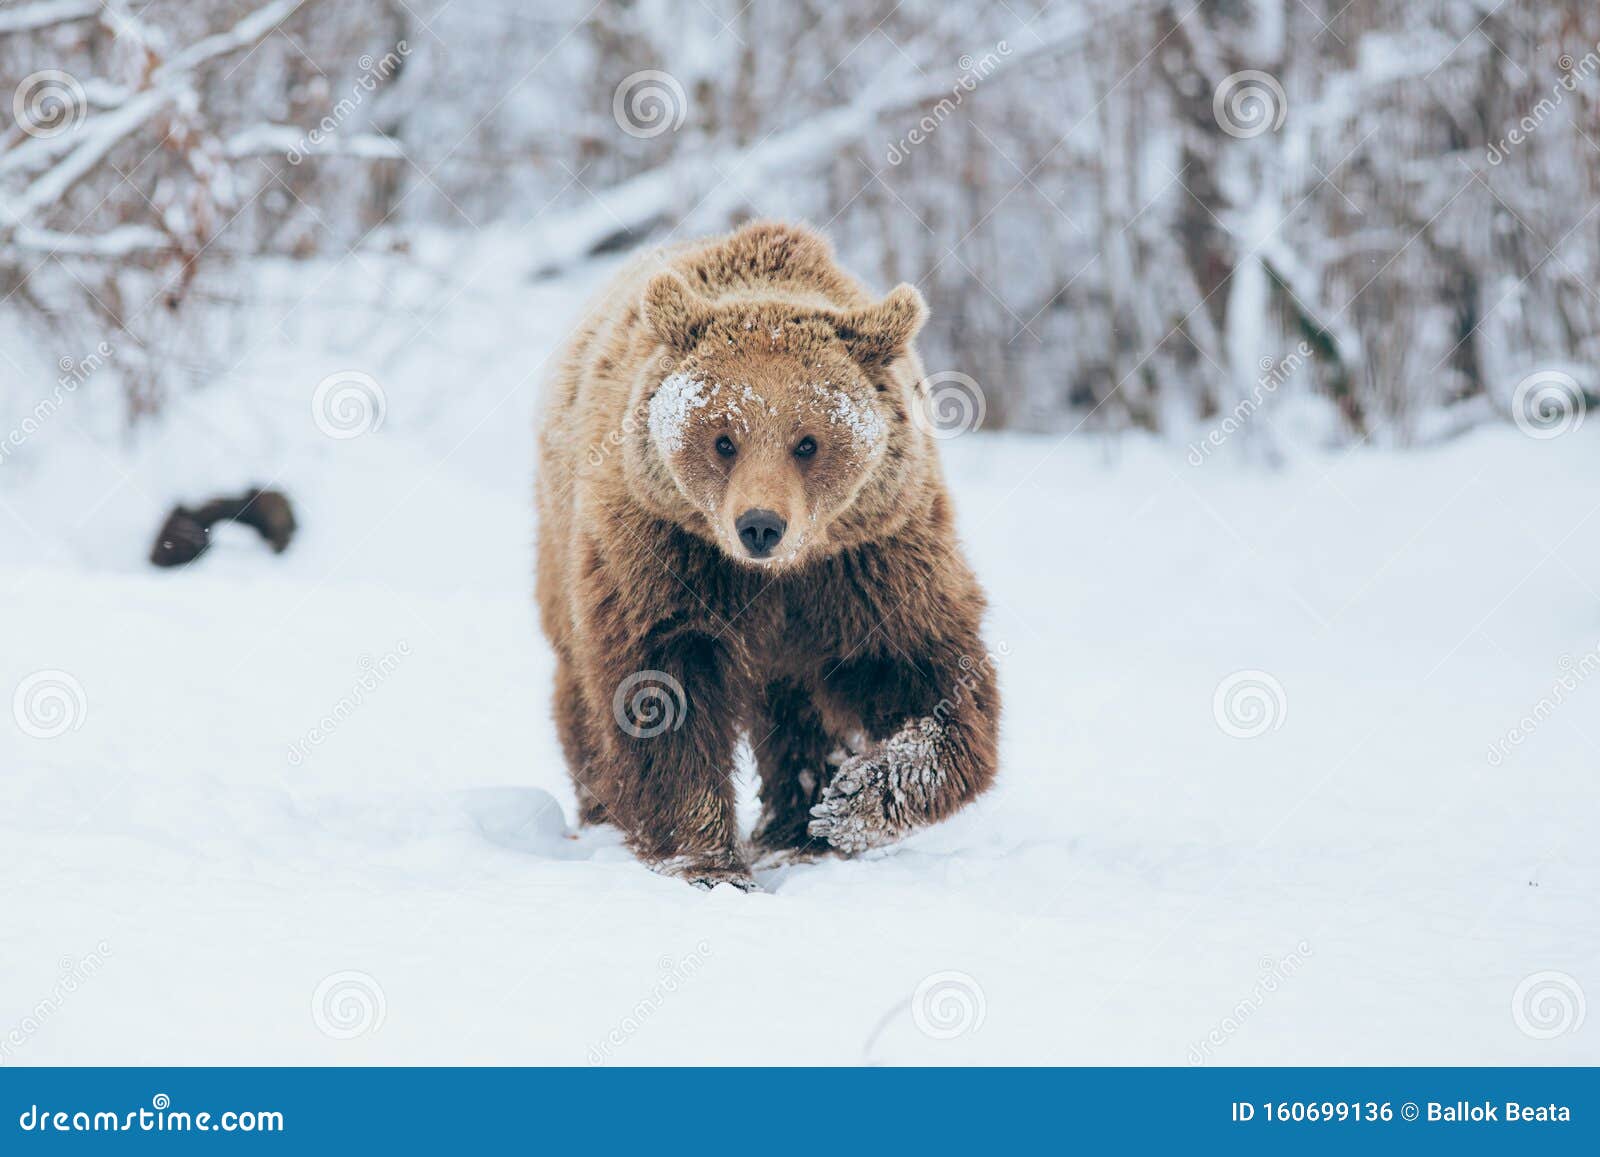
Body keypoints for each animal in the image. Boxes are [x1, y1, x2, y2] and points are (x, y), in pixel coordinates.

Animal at [535, 220, 999, 890]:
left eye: (808, 441)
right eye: (723, 439)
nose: (760, 526)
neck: (775, 578)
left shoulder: (870, 557)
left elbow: (926, 671)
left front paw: (849, 802)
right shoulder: (665, 554)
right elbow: (660, 690)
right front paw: (707, 860)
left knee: (798, 713)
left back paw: (796, 829)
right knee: (579, 688)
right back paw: (601, 807)